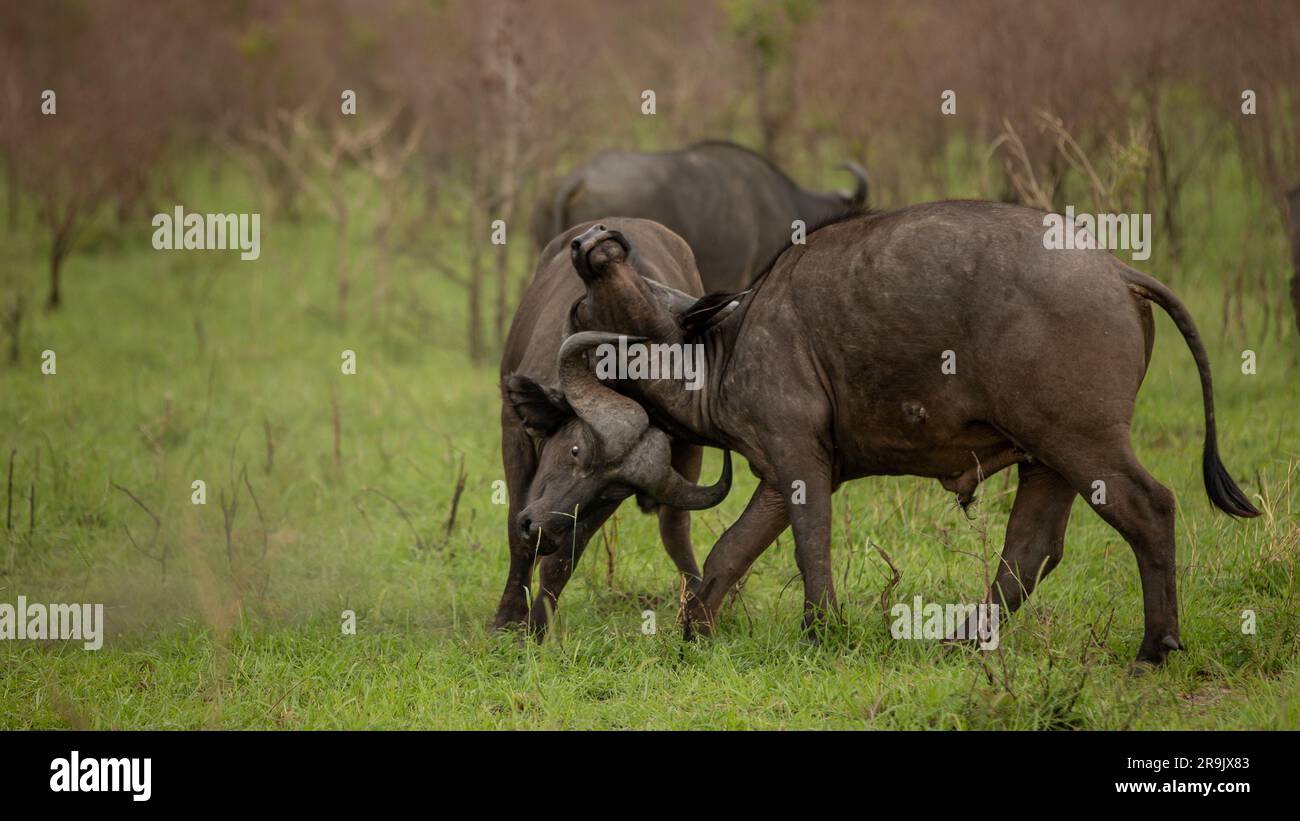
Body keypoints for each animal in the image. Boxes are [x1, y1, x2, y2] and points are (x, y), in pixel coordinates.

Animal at [494, 217, 732, 636]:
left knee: (675, 527)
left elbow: (564, 557)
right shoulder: (515, 430)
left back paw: (694, 596)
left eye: (612, 491)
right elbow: (514, 529)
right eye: (575, 450)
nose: (604, 245)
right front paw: (508, 618)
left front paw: (539, 626)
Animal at [532, 203, 1259, 667]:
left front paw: (820, 632)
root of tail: (1117, 271)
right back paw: (962, 640)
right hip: (1047, 458)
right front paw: (697, 630)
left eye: (579, 304)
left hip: (1085, 444)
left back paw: (1155, 647)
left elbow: (810, 547)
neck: (721, 347)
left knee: (1150, 508)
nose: (597, 238)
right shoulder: (778, 474)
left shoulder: (800, 466)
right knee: (1031, 550)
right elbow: (728, 554)